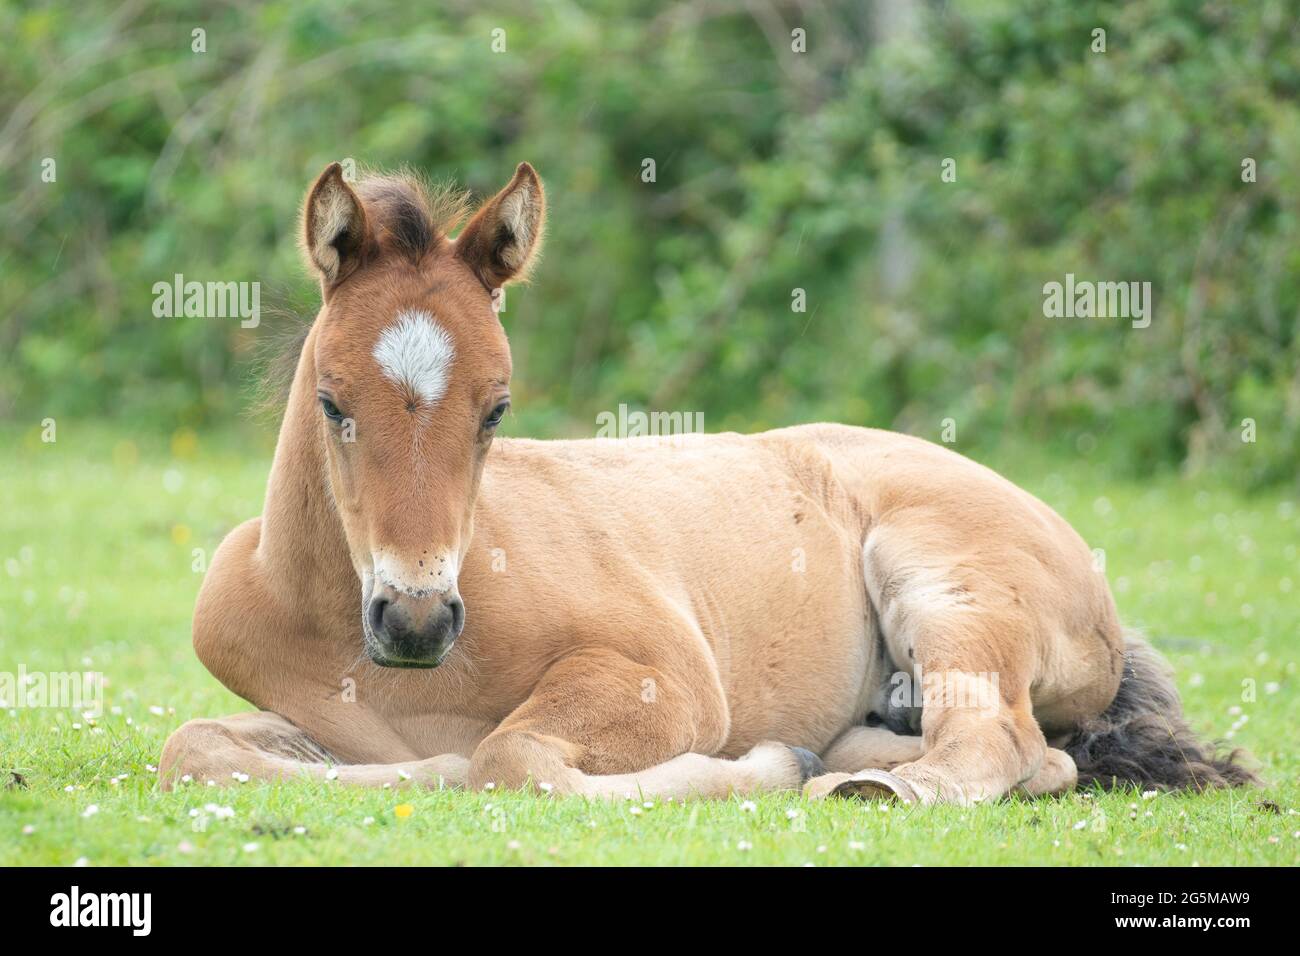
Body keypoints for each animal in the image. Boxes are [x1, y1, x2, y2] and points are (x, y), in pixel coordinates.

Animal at [159, 161, 1252, 804]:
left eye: (497, 409)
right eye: (333, 402)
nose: (417, 619)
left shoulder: (669, 679)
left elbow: (507, 758)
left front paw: (763, 763)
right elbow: (196, 747)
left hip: (947, 586)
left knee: (1009, 743)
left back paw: (862, 786)